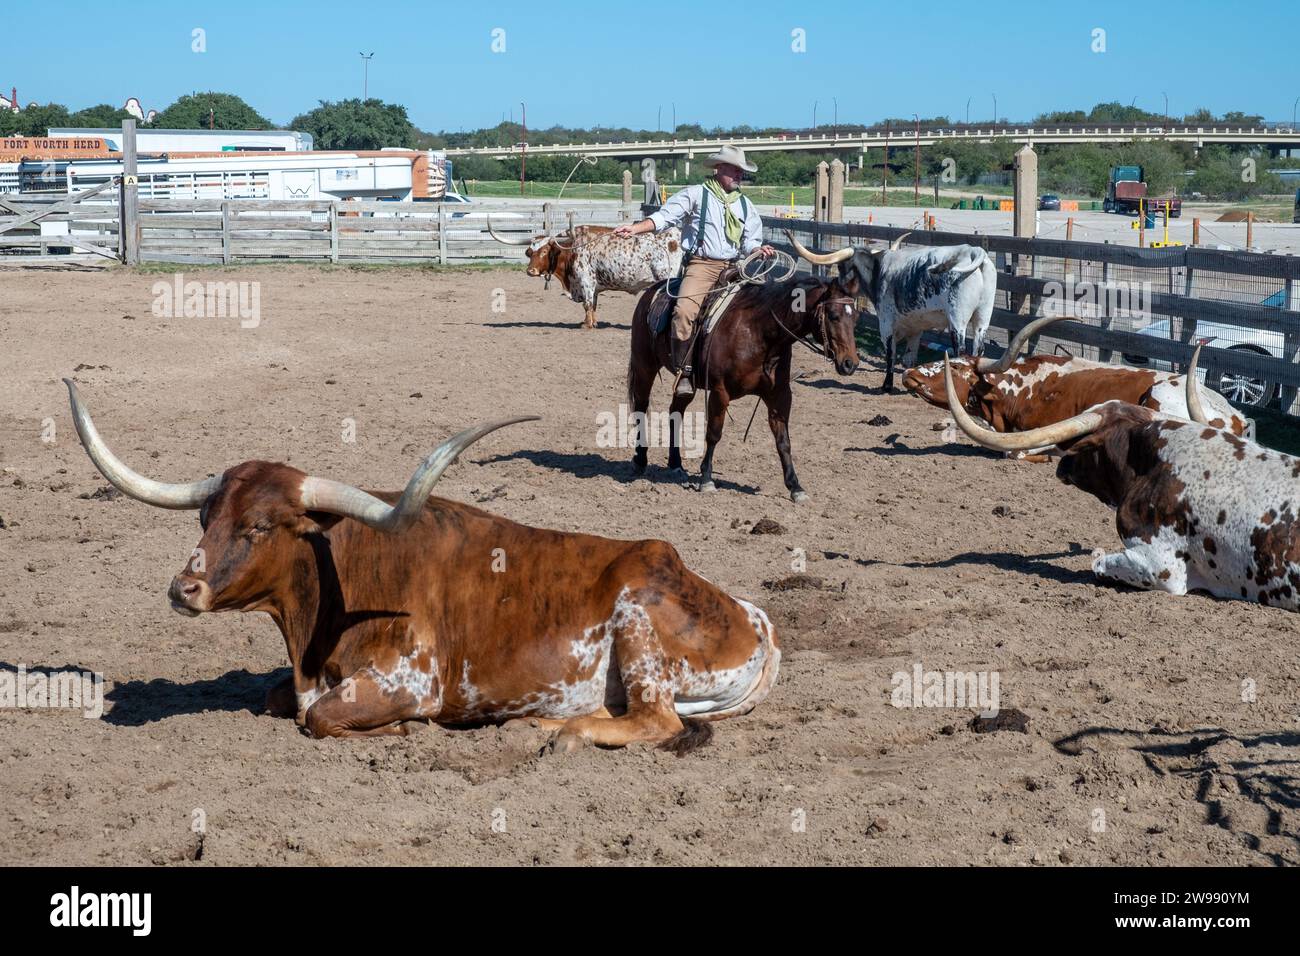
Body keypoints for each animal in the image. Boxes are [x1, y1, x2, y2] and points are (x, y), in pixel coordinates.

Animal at [64, 380, 780, 749]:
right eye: (204, 519)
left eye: (259, 526)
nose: (183, 588)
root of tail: (754, 618)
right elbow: (277, 698)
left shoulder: (408, 681)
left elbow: (316, 718)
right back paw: (549, 719)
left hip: (637, 620)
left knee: (656, 721)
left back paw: (558, 728)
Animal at [490, 219, 683, 329]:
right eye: (530, 252)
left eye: (545, 251)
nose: (530, 271)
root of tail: (675, 236)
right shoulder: (594, 286)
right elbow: (594, 305)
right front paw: (591, 322)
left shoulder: (586, 281)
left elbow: (587, 304)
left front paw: (587, 325)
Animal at [787, 231, 996, 392]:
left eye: (840, 266)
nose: (837, 286)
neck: (879, 271)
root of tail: (973, 251)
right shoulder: (916, 328)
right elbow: (910, 357)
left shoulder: (886, 323)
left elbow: (891, 353)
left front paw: (887, 386)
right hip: (982, 319)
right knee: (978, 350)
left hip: (958, 320)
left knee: (960, 351)